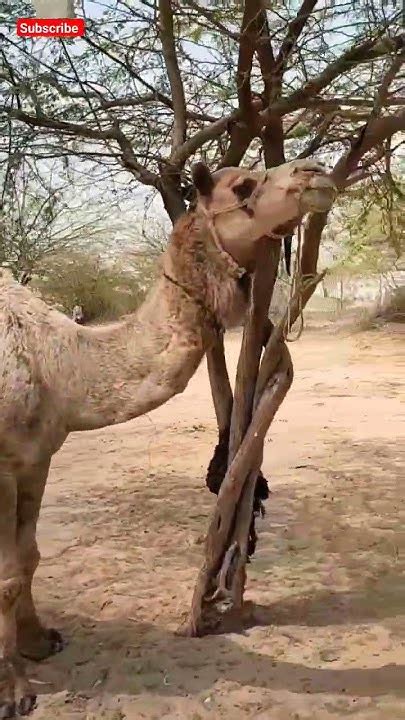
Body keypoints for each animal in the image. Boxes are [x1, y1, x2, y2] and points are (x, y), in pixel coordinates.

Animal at [0, 158, 335, 717]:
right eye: (243, 185)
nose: (315, 173)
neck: (58, 363)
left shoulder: (38, 455)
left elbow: (27, 558)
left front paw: (41, 643)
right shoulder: (2, 460)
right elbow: (5, 572)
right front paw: (13, 691)